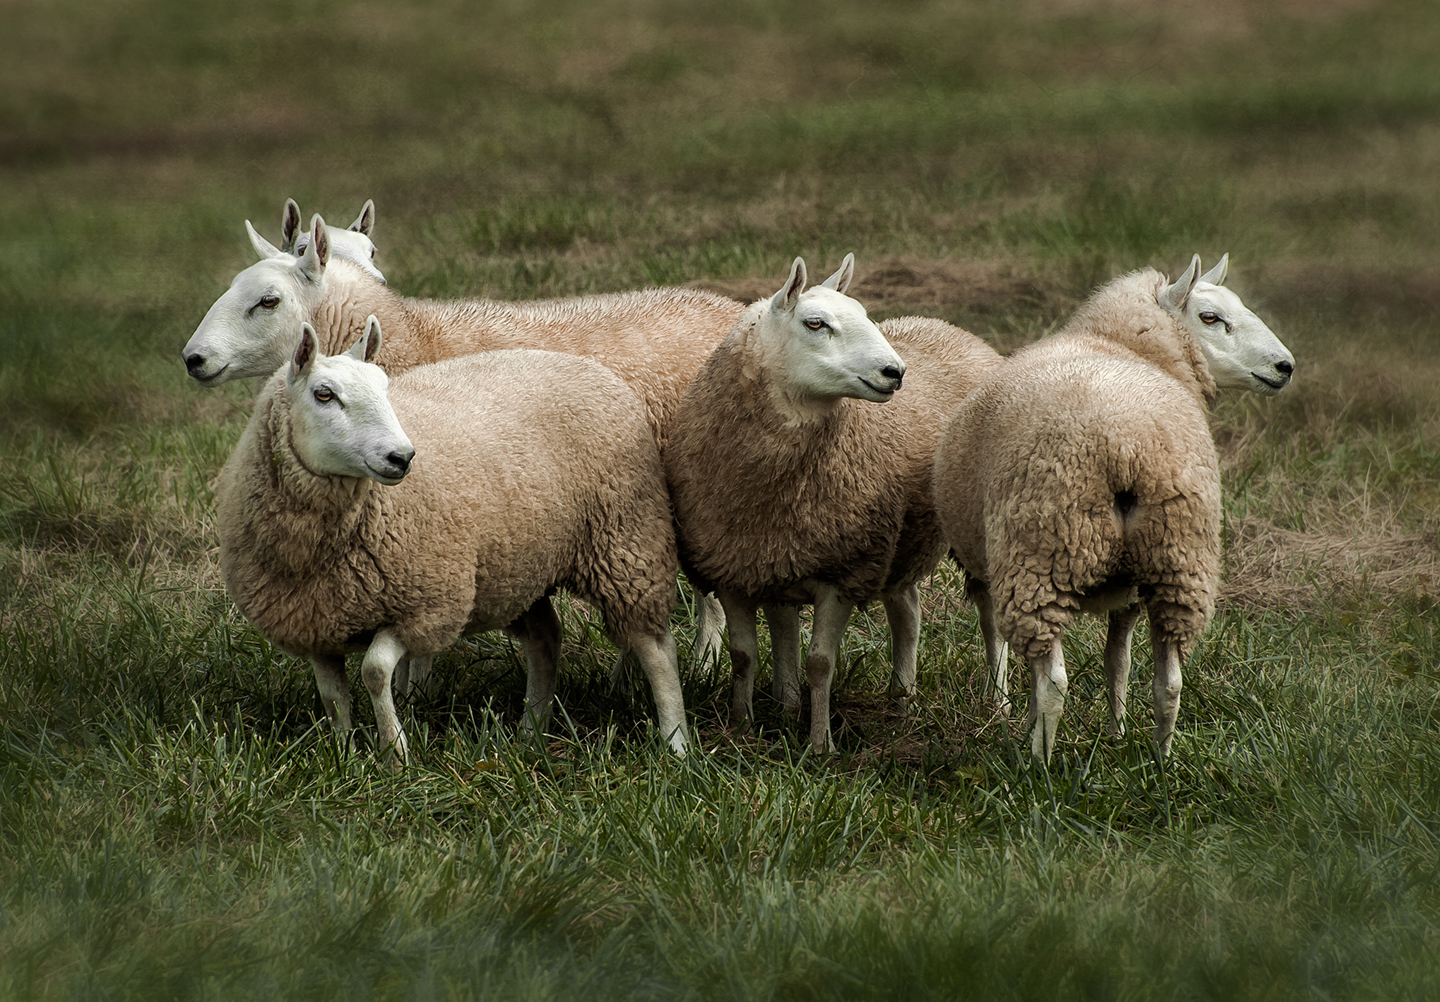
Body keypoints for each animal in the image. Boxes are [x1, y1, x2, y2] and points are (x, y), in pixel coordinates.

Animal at [216, 316, 691, 766]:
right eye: (324, 394)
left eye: (385, 387)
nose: (402, 457)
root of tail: (590, 366)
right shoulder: (314, 626)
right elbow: (333, 698)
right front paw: (344, 756)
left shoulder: (426, 605)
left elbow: (374, 670)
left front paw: (395, 754)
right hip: (517, 568)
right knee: (546, 638)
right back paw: (531, 731)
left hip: (626, 542)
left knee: (656, 648)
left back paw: (677, 744)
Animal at [664, 255, 1003, 753]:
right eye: (815, 323)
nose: (895, 372)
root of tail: (955, 330)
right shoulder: (737, 566)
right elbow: (743, 654)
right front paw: (741, 727)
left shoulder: (843, 571)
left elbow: (820, 664)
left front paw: (819, 745)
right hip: (899, 543)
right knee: (907, 611)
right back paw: (901, 700)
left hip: (976, 527)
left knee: (991, 615)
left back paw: (999, 702)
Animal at [932, 254, 1296, 760]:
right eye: (1210, 317)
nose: (1286, 366)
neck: (1119, 342)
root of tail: (1124, 445)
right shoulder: (1128, 591)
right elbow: (1117, 660)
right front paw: (1117, 732)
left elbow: (1016, 651)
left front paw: (1019, 721)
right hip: (1176, 563)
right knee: (1169, 682)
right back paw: (1160, 764)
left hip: (1041, 555)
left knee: (1053, 681)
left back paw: (1038, 766)